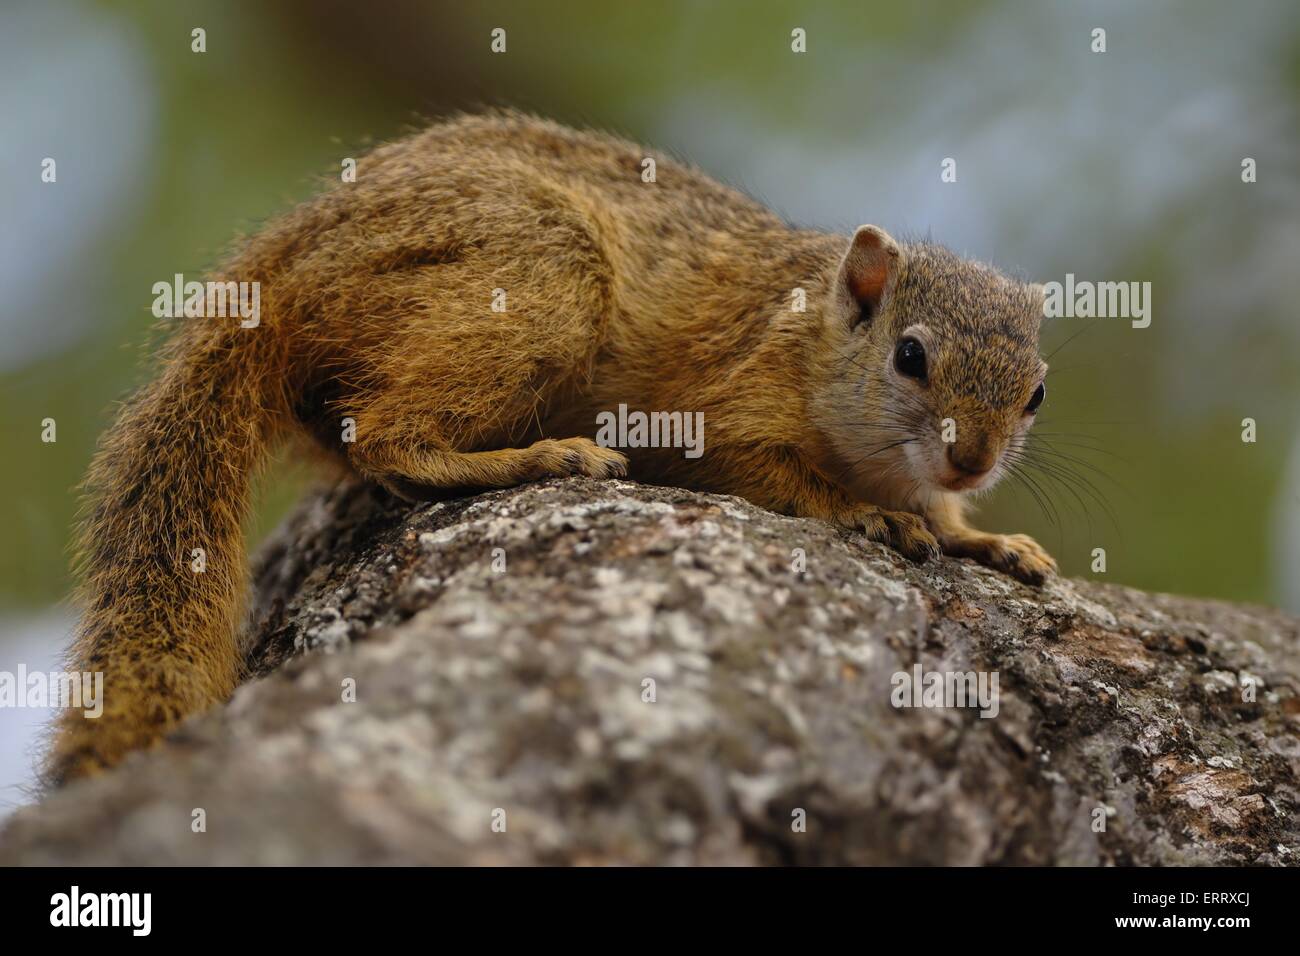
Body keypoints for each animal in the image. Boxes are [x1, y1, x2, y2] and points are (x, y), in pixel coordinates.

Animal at [50, 110, 1055, 784]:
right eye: (910, 356)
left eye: (1037, 393)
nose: (972, 459)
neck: (814, 332)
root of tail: (280, 272)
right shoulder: (728, 401)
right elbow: (766, 469)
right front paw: (872, 514)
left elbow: (946, 517)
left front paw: (985, 539)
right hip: (539, 270)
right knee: (387, 438)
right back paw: (532, 458)